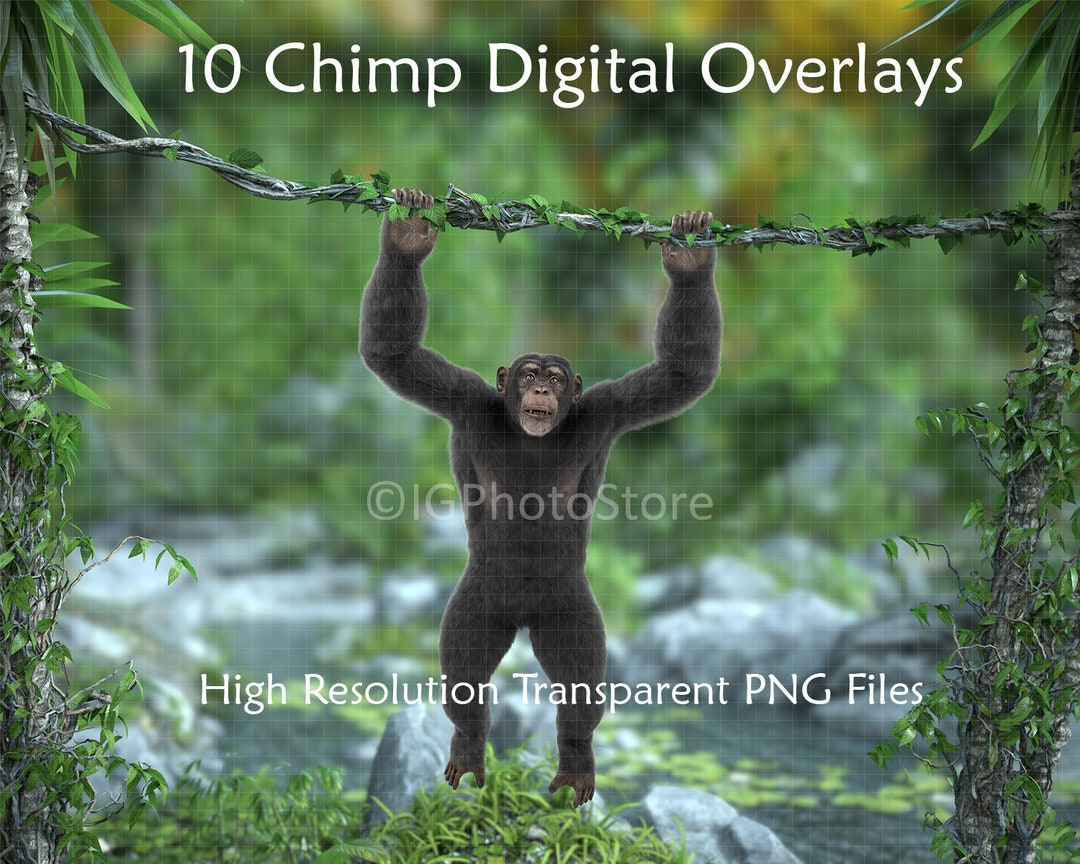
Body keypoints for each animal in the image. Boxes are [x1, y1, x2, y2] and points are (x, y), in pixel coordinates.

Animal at [361, 187, 721, 807]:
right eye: (529, 373)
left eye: (555, 378)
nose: (540, 389)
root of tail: (526, 617)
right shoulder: (463, 399)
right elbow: (395, 355)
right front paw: (407, 236)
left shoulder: (606, 410)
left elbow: (683, 373)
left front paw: (690, 260)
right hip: (479, 601)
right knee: (465, 676)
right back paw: (469, 745)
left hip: (569, 610)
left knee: (580, 688)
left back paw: (575, 761)